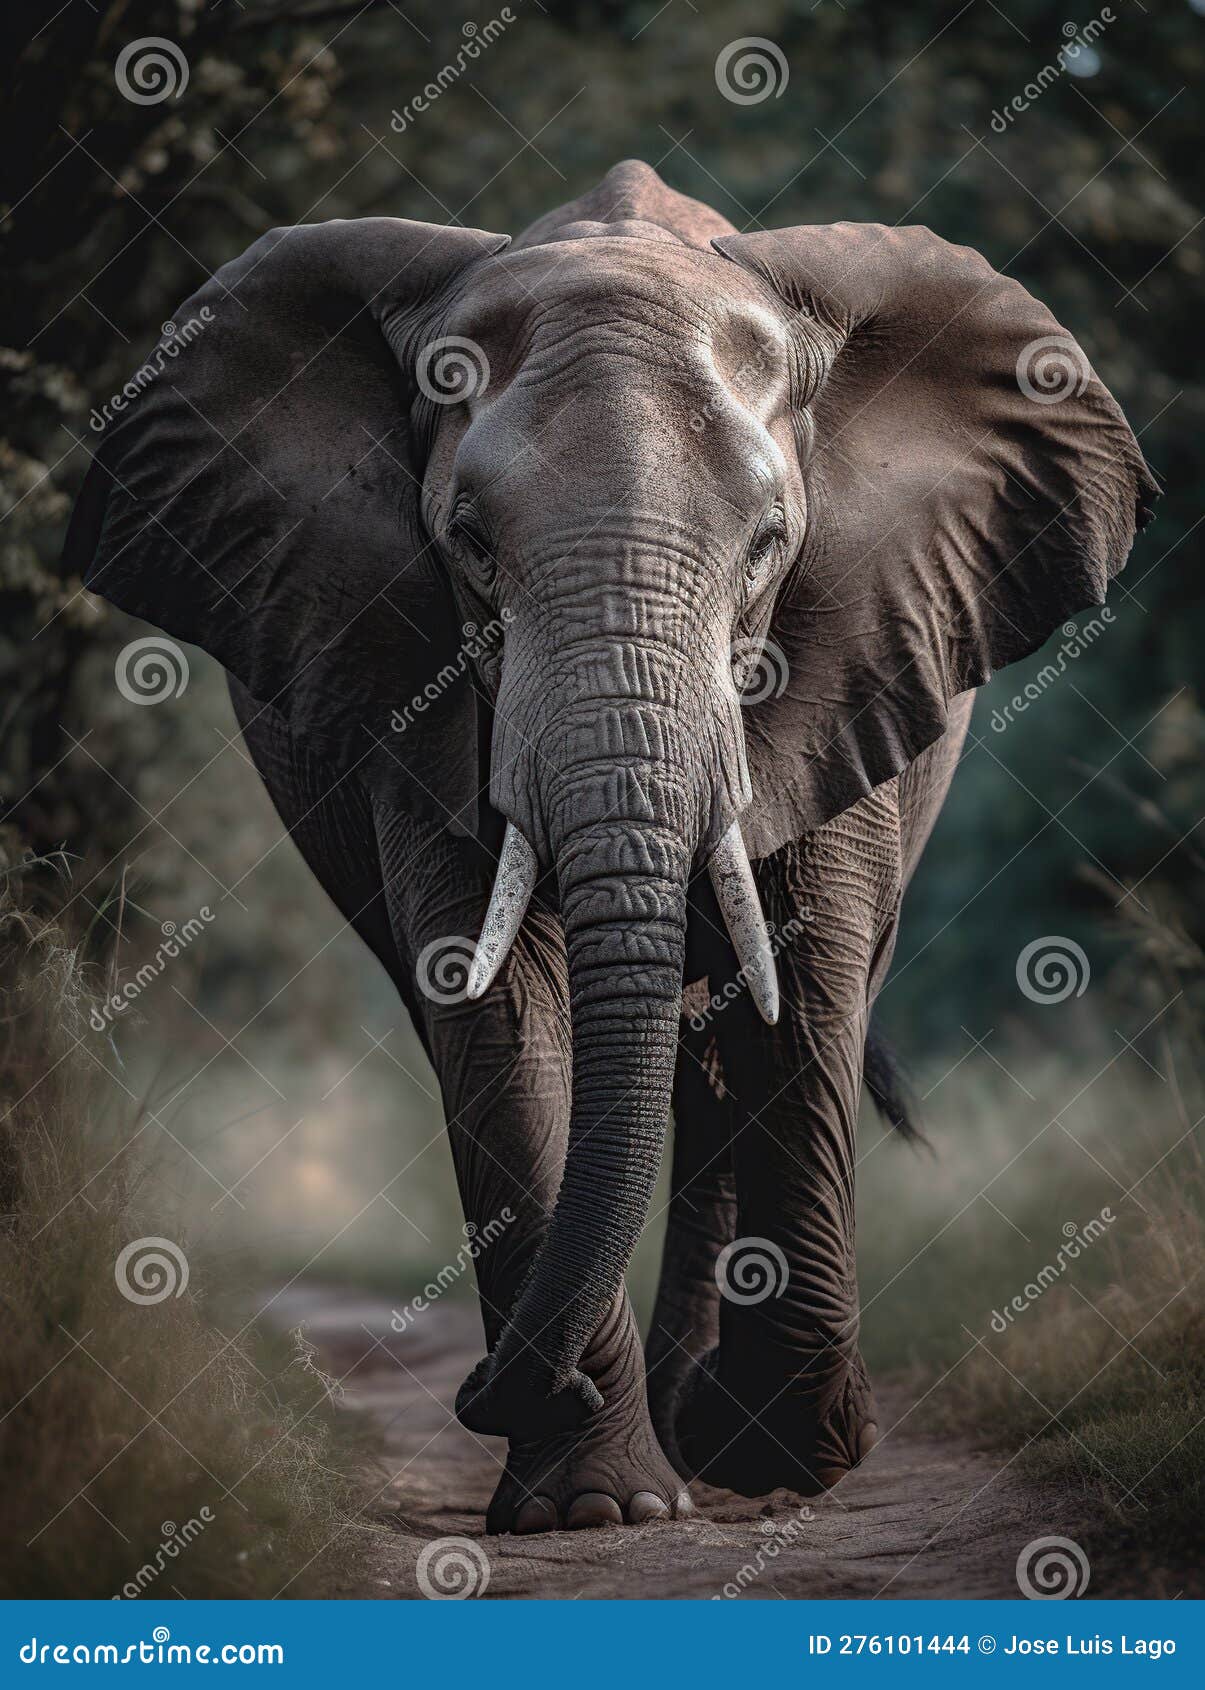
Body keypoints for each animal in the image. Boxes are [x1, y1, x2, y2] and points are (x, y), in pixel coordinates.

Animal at [66, 160, 1156, 1534]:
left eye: (768, 544)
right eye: (469, 545)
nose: (475, 1389)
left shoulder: (844, 652)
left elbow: (804, 981)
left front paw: (775, 1452)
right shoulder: (410, 680)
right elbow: (492, 1000)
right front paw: (592, 1505)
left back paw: (717, 1437)